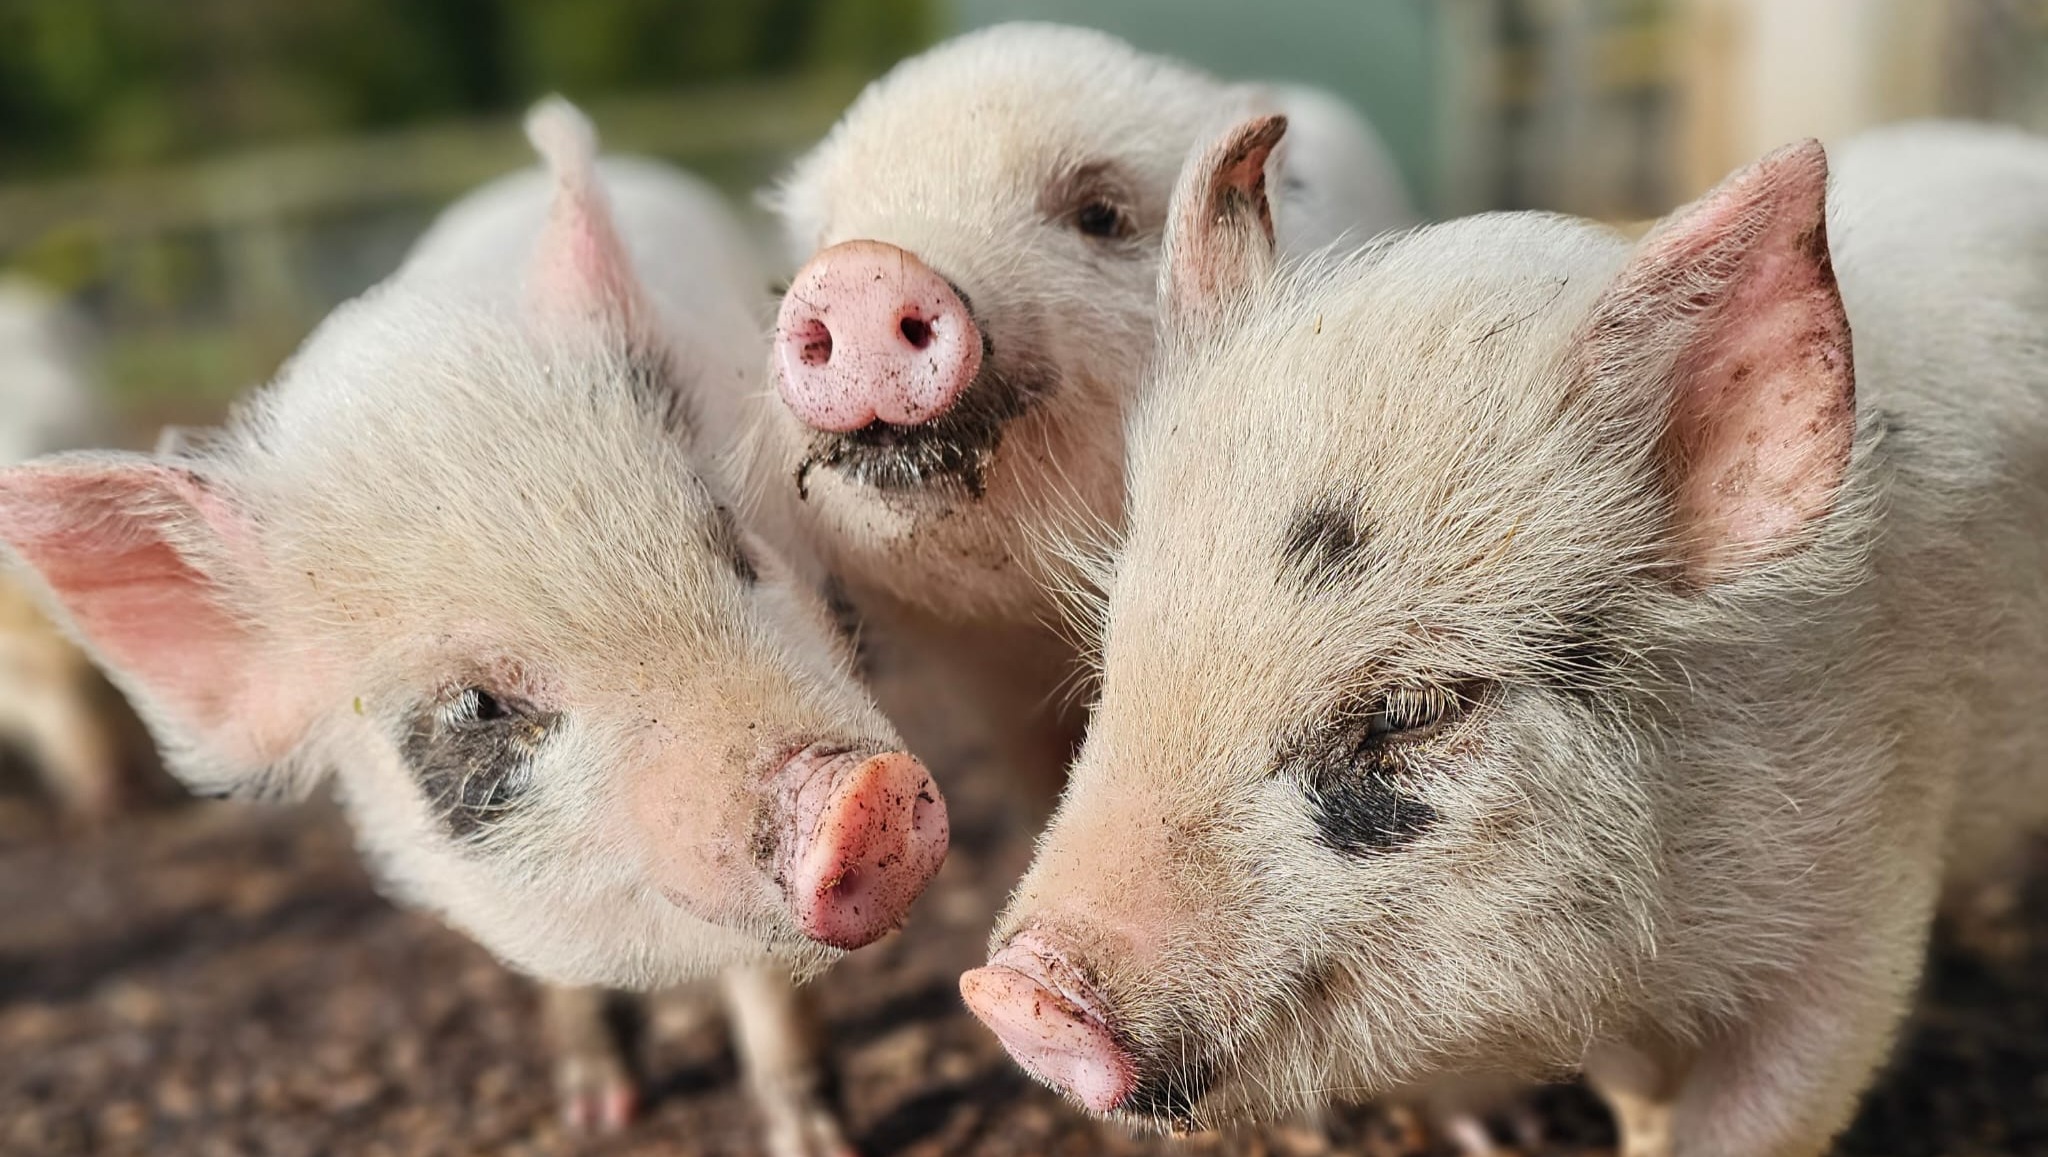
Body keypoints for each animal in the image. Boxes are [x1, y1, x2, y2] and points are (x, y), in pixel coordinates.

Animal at [0, 100, 948, 1157]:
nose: (861, 795)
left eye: (735, 548)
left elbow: (770, 988)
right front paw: (599, 1114)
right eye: (480, 704)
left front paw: (821, 1144)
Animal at [962, 113, 2048, 1157]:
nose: (1017, 991)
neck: (1667, 948)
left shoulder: (1864, 888)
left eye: (1409, 708)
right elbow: (1634, 1091)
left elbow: (1765, 1110)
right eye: (1117, 659)